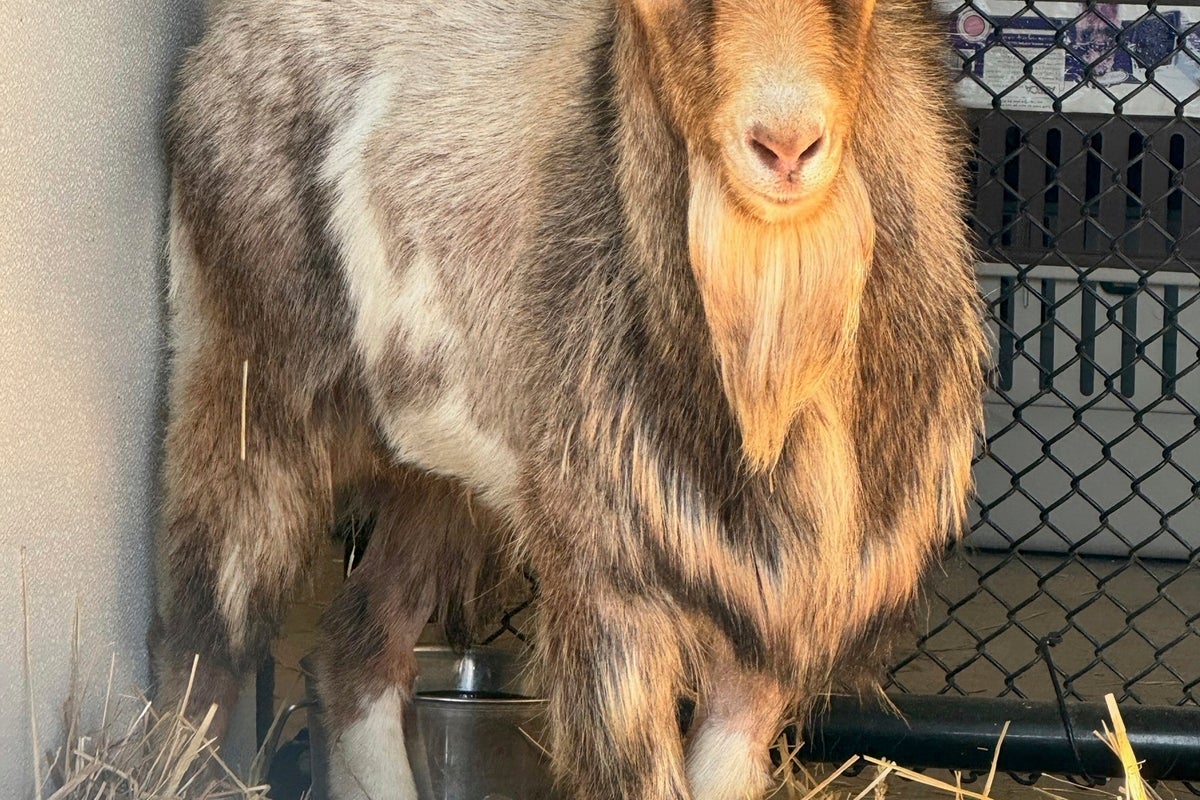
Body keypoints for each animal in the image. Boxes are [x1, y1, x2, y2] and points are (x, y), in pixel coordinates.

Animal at [152, 1, 987, 798]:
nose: (785, 146)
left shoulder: (779, 618)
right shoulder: (607, 586)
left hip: (444, 475)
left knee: (362, 637)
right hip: (248, 381)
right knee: (206, 629)